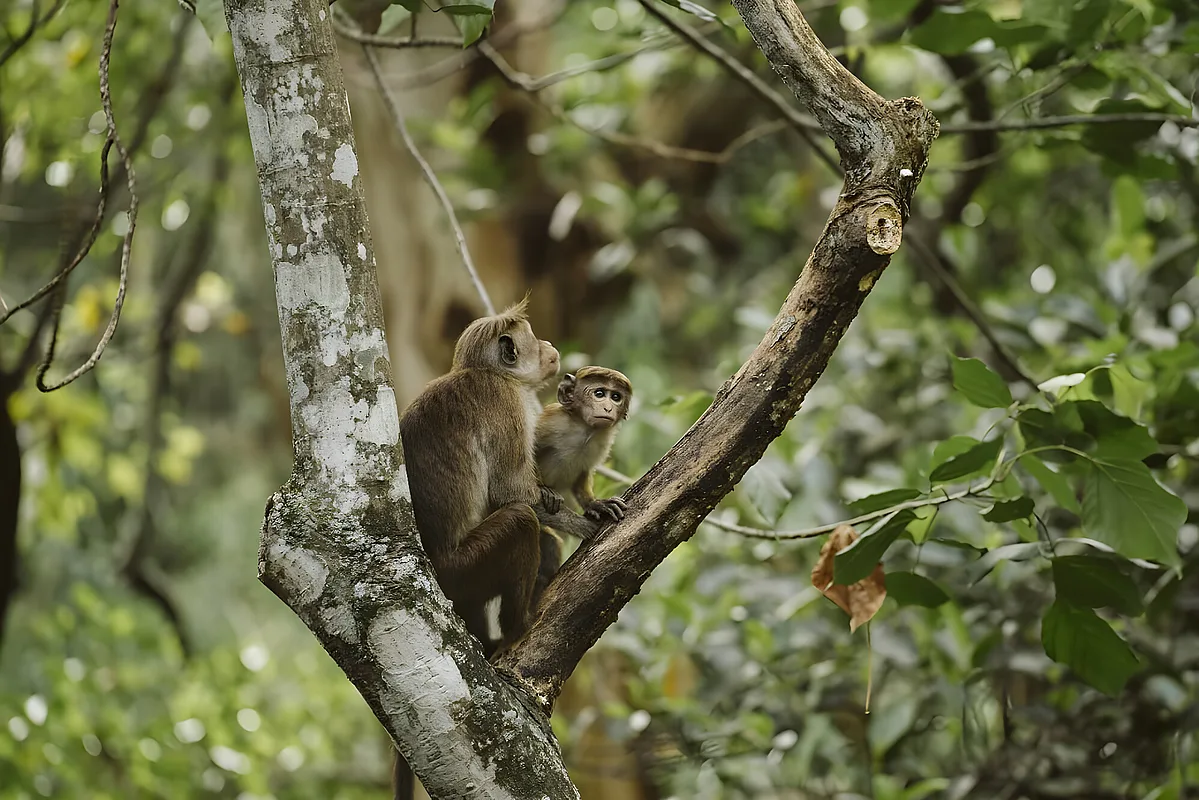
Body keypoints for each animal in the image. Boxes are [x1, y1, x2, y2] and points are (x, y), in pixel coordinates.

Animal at [393, 300, 600, 800]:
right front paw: (581, 521)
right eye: (532, 338)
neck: (486, 372)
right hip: (463, 568)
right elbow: (512, 495)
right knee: (522, 524)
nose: (549, 345)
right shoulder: (507, 405)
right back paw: (517, 623)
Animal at [531, 366, 633, 607]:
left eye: (616, 397)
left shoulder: (601, 441)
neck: (583, 430)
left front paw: (596, 505)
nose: (607, 407)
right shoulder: (551, 421)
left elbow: (582, 476)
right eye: (599, 393)